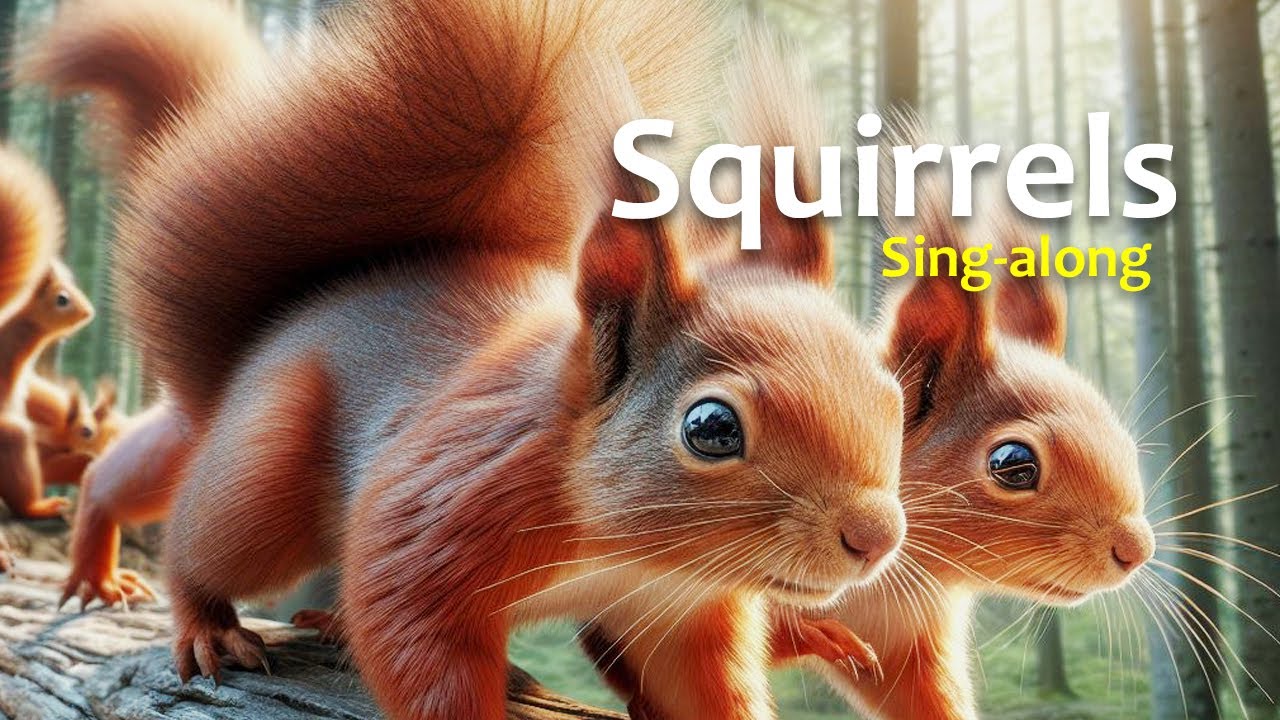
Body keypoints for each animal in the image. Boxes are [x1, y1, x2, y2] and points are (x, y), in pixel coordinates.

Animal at [25, 2, 909, 719]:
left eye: (893, 397)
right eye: (712, 428)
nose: (874, 536)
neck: (632, 553)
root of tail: (258, 348)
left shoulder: (677, 611)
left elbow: (701, 687)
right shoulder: (450, 500)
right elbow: (410, 630)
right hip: (259, 479)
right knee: (197, 534)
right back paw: (194, 615)